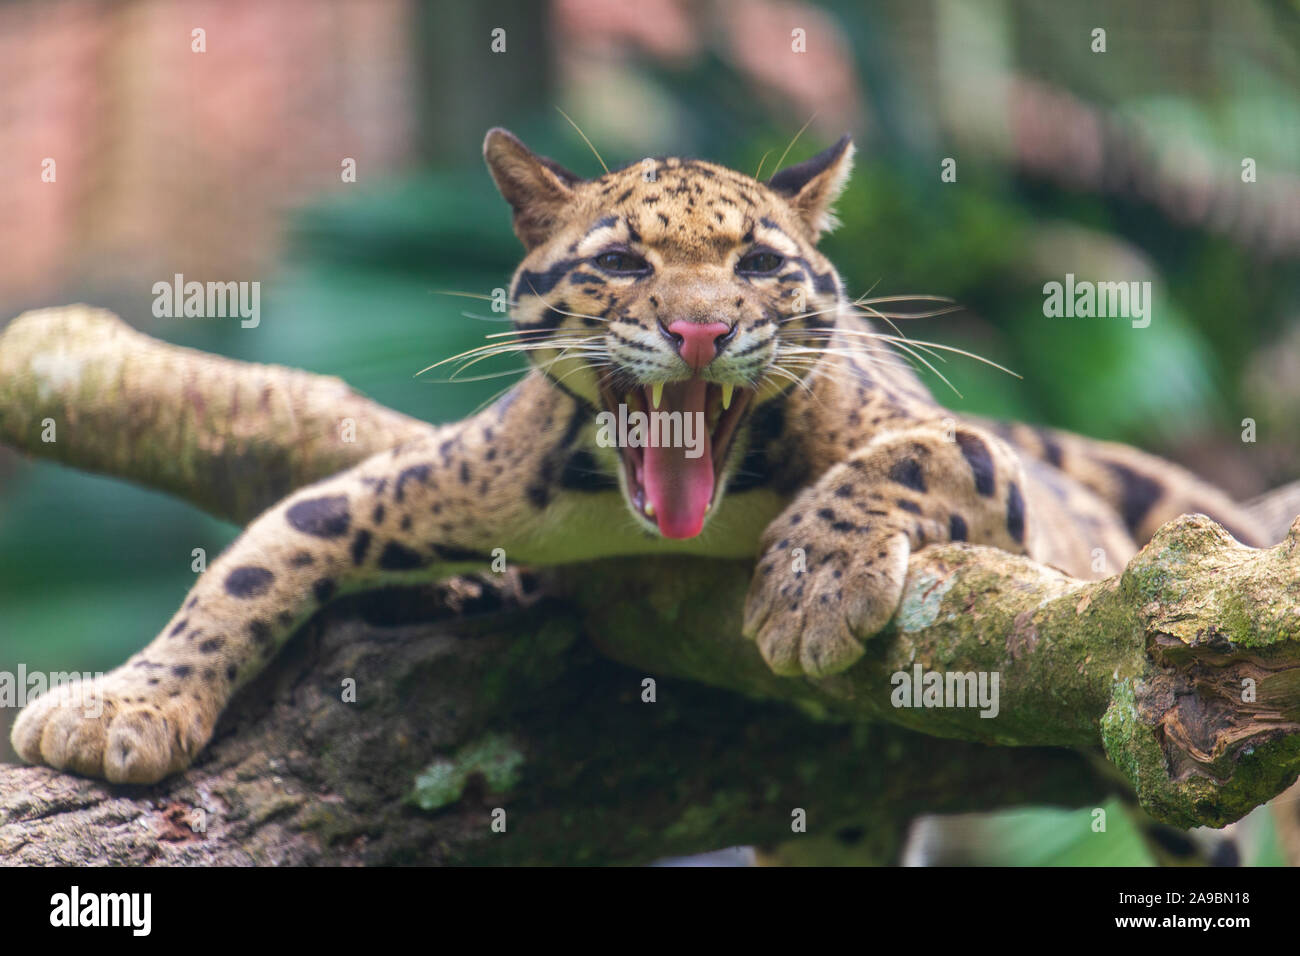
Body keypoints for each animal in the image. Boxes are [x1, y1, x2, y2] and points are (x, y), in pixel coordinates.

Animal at [11, 127, 1266, 784]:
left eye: (758, 263)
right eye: (621, 262)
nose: (701, 328)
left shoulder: (1027, 510)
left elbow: (924, 452)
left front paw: (810, 581)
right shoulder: (421, 479)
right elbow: (251, 566)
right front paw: (124, 701)